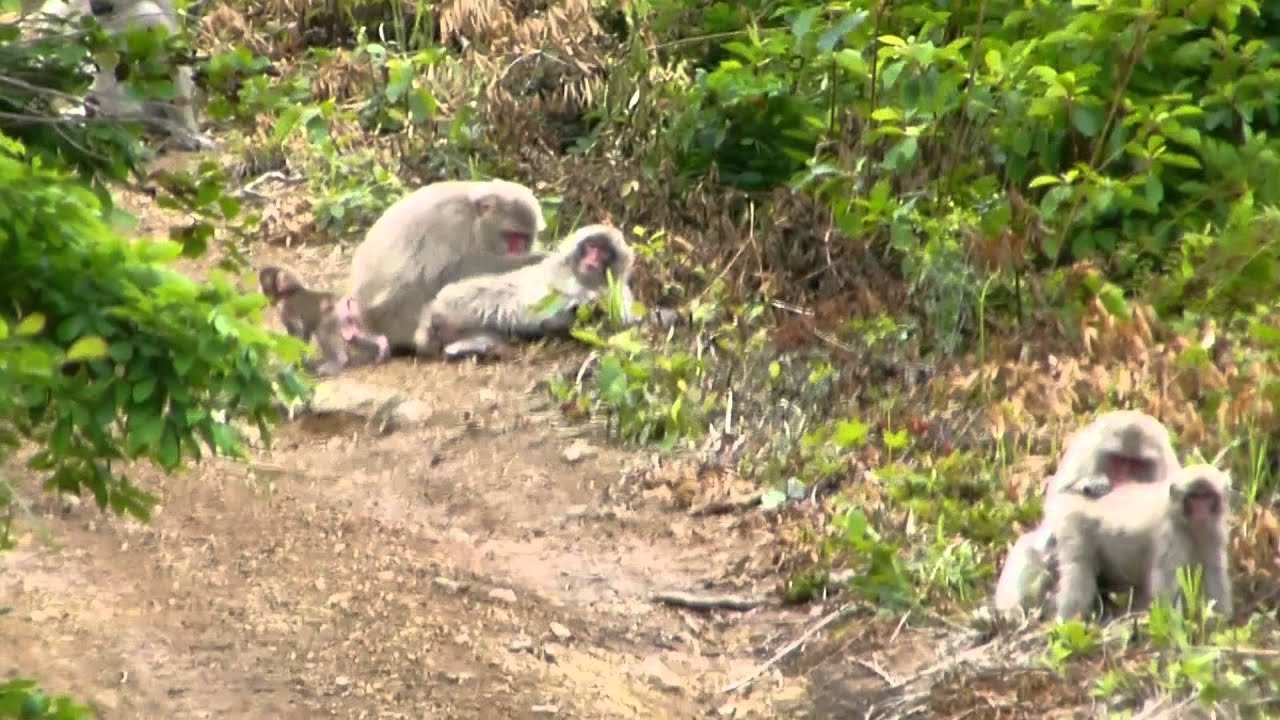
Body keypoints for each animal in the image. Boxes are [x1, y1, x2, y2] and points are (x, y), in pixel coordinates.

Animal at [259, 265, 389, 377]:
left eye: (262, 282)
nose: (258, 290)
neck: (285, 294)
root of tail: (342, 301)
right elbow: (304, 335)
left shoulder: (287, 310)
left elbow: (298, 334)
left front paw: (293, 366)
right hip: (351, 320)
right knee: (356, 336)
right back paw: (382, 345)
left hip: (334, 316)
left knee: (323, 331)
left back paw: (337, 363)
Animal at [348, 179, 549, 353]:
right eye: (511, 236)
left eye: (524, 238)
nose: (519, 250)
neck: (472, 217)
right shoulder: (452, 220)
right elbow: (446, 272)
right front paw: (534, 258)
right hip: (394, 317)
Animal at [412, 223, 636, 360]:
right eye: (591, 246)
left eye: (604, 252)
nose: (592, 260)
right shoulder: (557, 272)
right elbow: (548, 297)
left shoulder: (618, 292)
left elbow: (623, 323)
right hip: (451, 300)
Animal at [991, 410, 1181, 619]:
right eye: (1118, 462)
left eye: (1136, 466)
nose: (1123, 484)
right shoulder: (1086, 452)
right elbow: (1059, 502)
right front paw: (1091, 486)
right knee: (1032, 549)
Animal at [1049, 463, 1232, 622]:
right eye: (1194, 498)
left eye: (1207, 497)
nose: (1202, 511)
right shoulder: (1171, 533)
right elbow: (1166, 577)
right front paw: (1176, 624)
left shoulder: (1213, 530)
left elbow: (1213, 570)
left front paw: (1218, 620)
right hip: (1073, 520)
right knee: (1077, 568)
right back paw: (1068, 621)